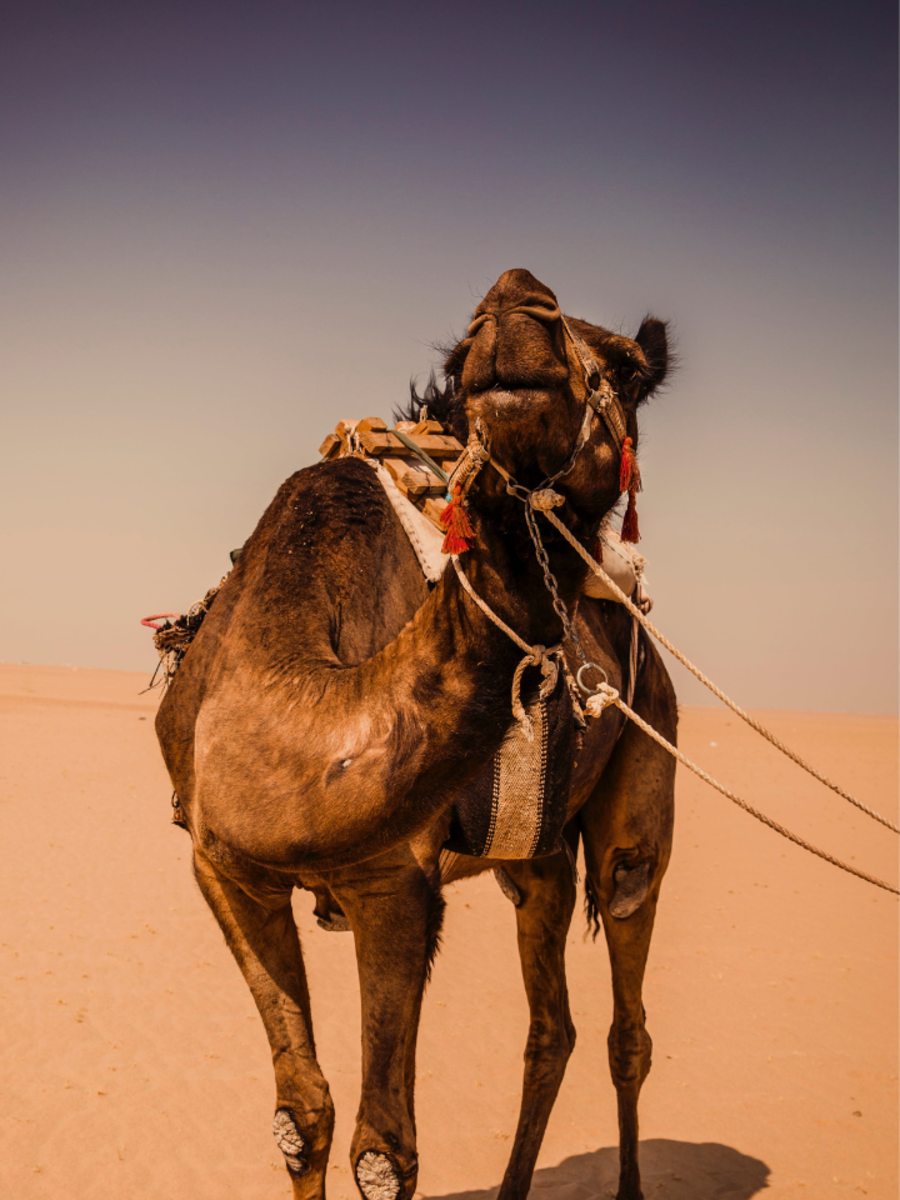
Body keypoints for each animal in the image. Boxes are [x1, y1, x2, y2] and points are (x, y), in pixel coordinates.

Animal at [154, 268, 676, 1200]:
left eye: (625, 363)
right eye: (466, 347)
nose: (515, 302)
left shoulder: (393, 880)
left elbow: (383, 1150)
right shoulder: (226, 869)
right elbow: (302, 1114)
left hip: (645, 752)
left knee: (628, 991)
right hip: (533, 856)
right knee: (553, 1024)